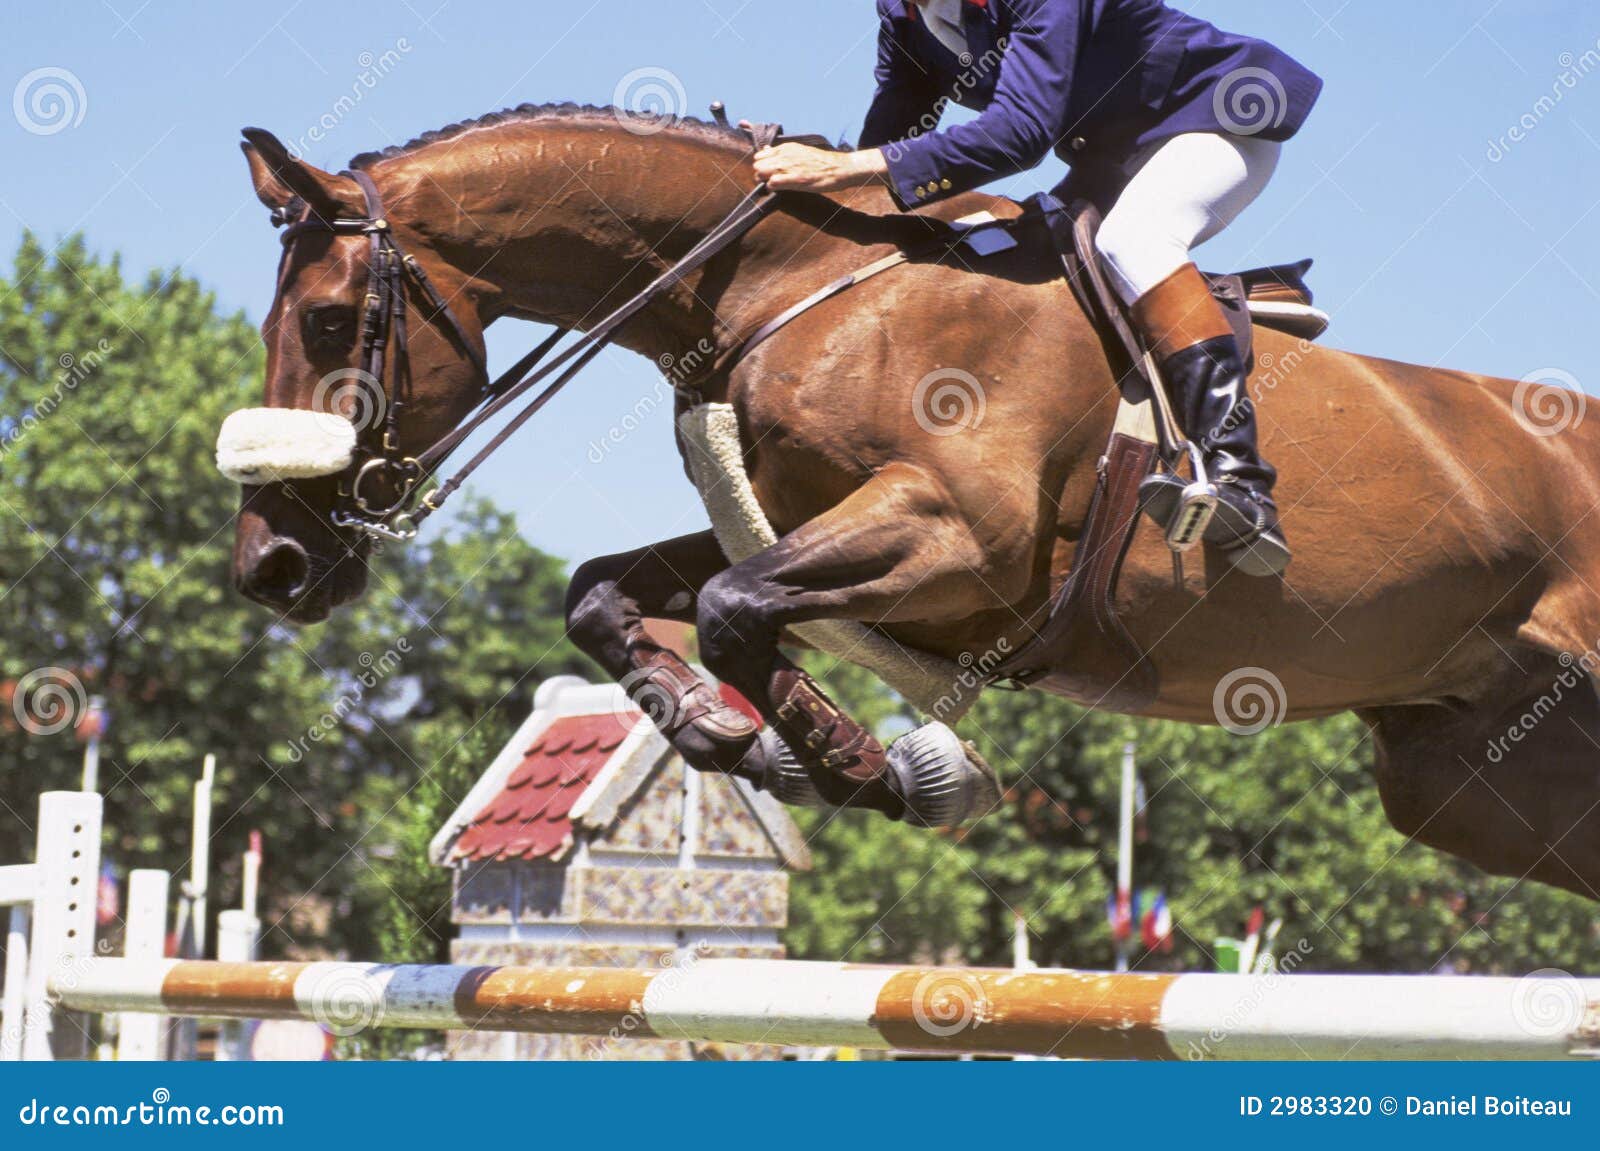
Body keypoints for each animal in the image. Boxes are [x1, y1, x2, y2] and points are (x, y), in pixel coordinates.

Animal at [228, 104, 1600, 900]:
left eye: (332, 323)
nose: (269, 568)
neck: (797, 275)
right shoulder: (809, 524)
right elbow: (605, 595)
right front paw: (732, 736)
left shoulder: (961, 541)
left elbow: (733, 609)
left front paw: (872, 764)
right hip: (1472, 782)